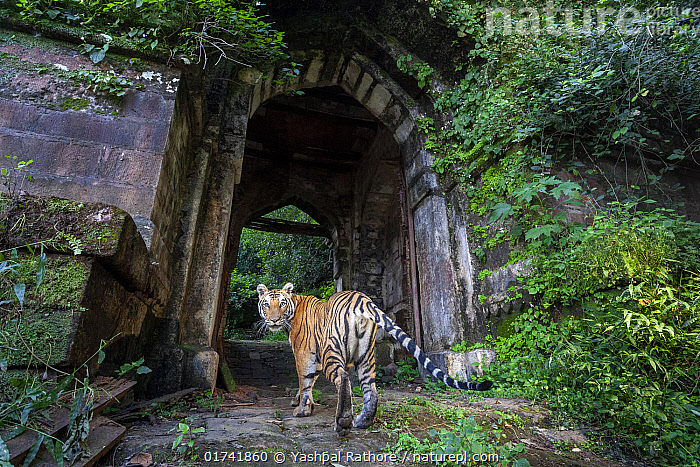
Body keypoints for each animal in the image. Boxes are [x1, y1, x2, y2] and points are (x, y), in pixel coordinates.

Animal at [256, 282, 493, 436]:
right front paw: (303, 403)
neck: (294, 307)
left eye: (281, 304)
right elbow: (311, 381)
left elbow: (305, 381)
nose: (274, 320)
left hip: (333, 348)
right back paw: (362, 421)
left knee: (343, 378)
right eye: (267, 304)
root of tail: (362, 300)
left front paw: (302, 409)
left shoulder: (305, 354)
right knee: (371, 389)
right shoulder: (317, 357)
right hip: (365, 356)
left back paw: (343, 422)